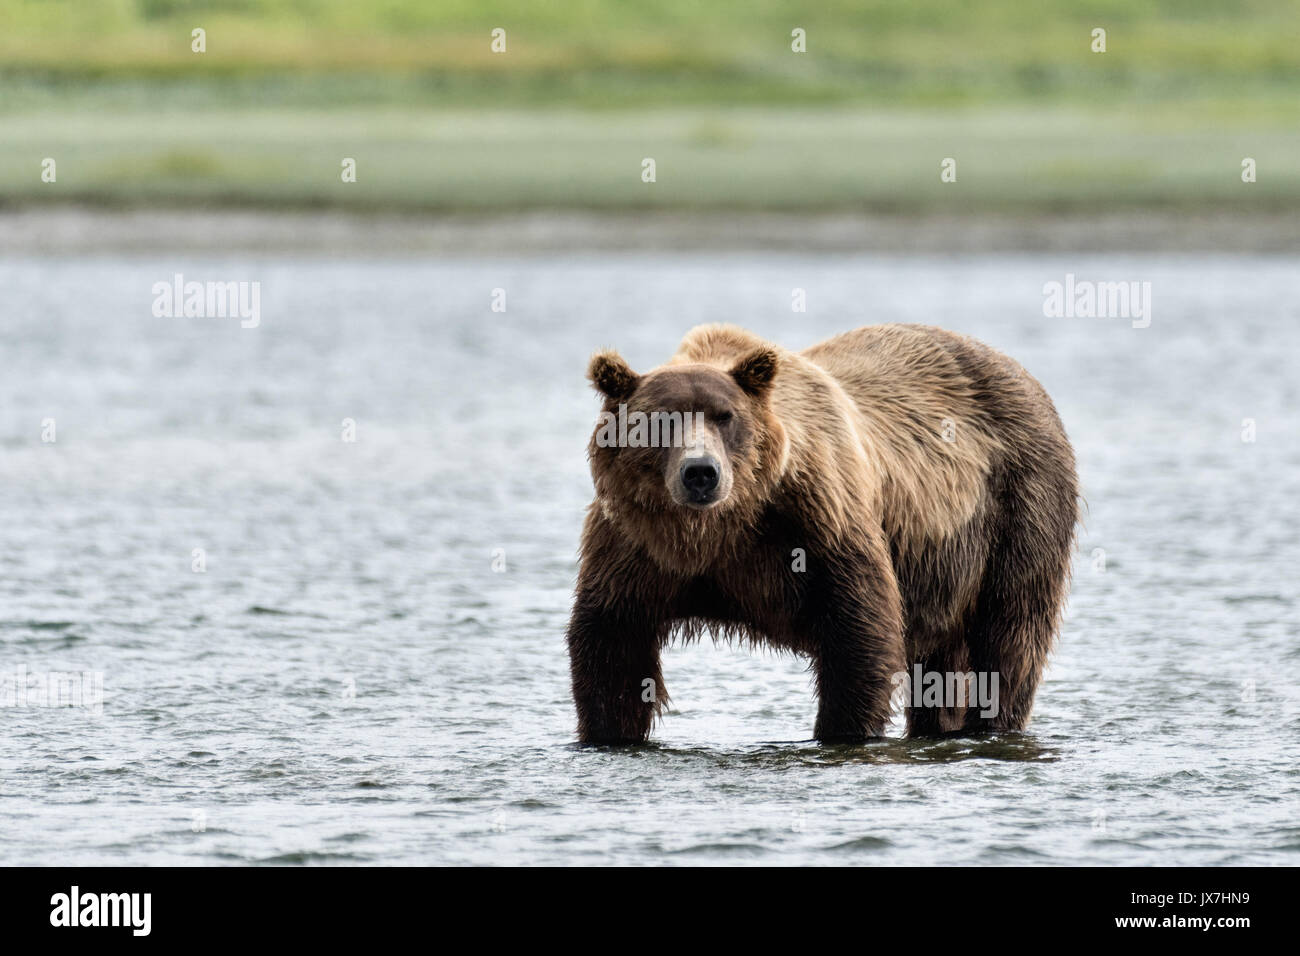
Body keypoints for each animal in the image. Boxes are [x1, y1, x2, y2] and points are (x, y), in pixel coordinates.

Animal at [566, 323, 1077, 744]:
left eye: (725, 415)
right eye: (662, 419)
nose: (701, 473)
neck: (720, 529)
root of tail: (1021, 372)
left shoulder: (818, 521)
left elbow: (860, 632)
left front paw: (842, 730)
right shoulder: (634, 544)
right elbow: (613, 645)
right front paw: (608, 732)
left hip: (1019, 504)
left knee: (1009, 636)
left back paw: (992, 723)